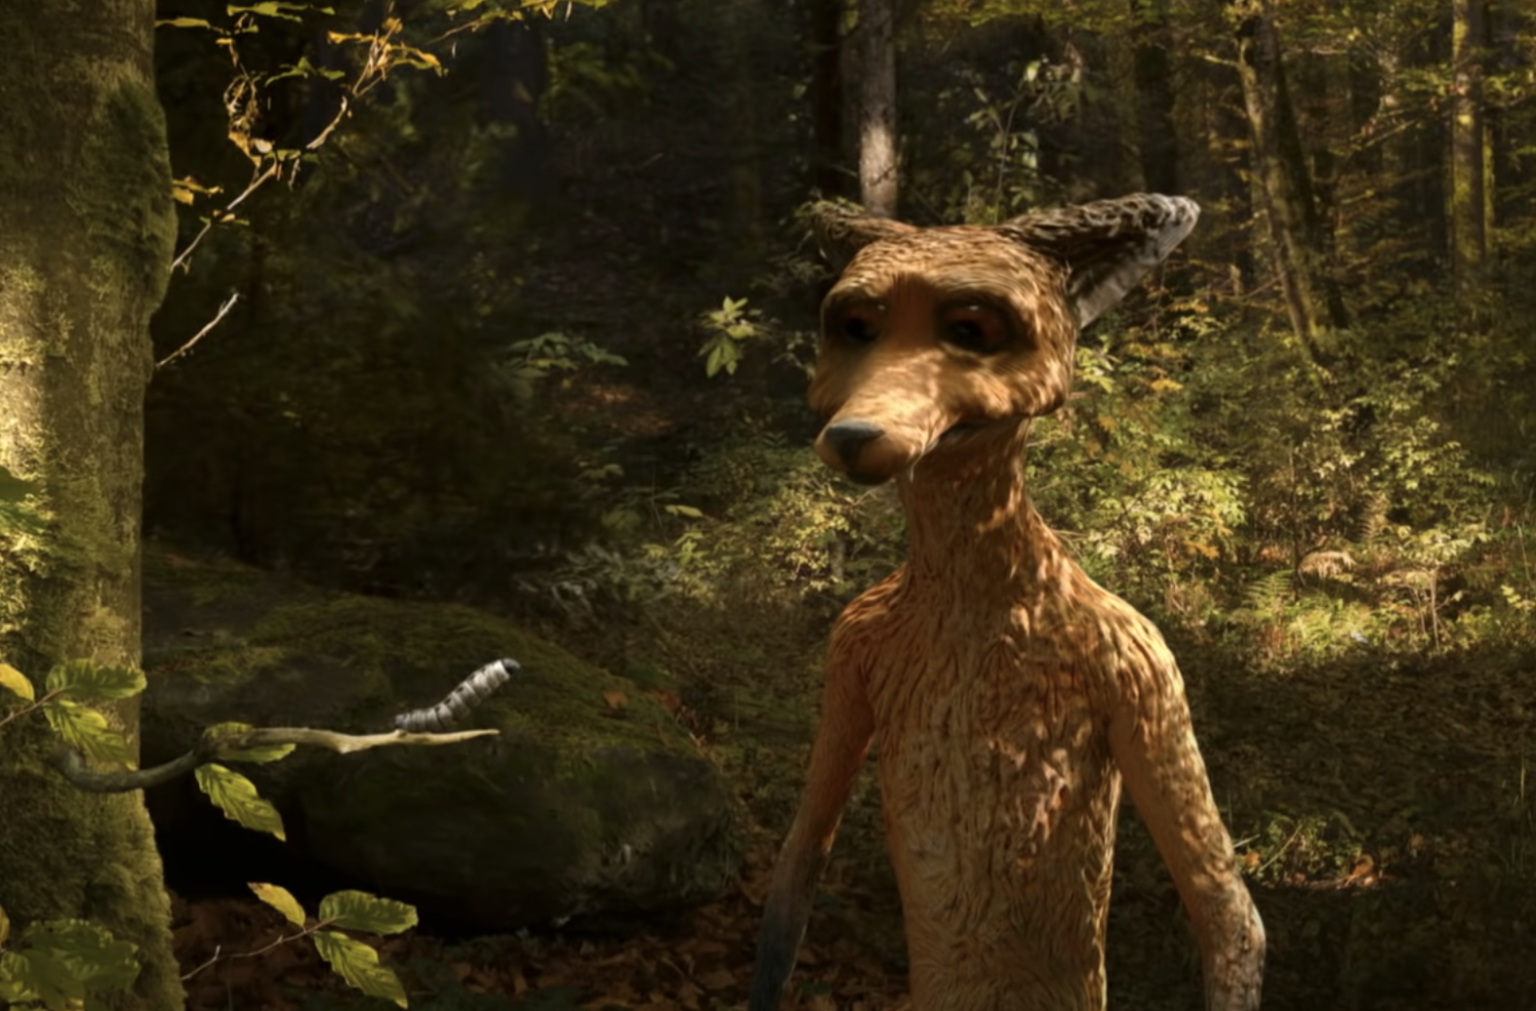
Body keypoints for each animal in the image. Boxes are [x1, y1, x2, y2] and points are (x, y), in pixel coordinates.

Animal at [749, 195, 1264, 1011]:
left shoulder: (1143, 664)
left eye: (971, 330)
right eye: (859, 328)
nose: (855, 433)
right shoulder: (849, 648)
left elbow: (1228, 916)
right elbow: (799, 853)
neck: (975, 600)